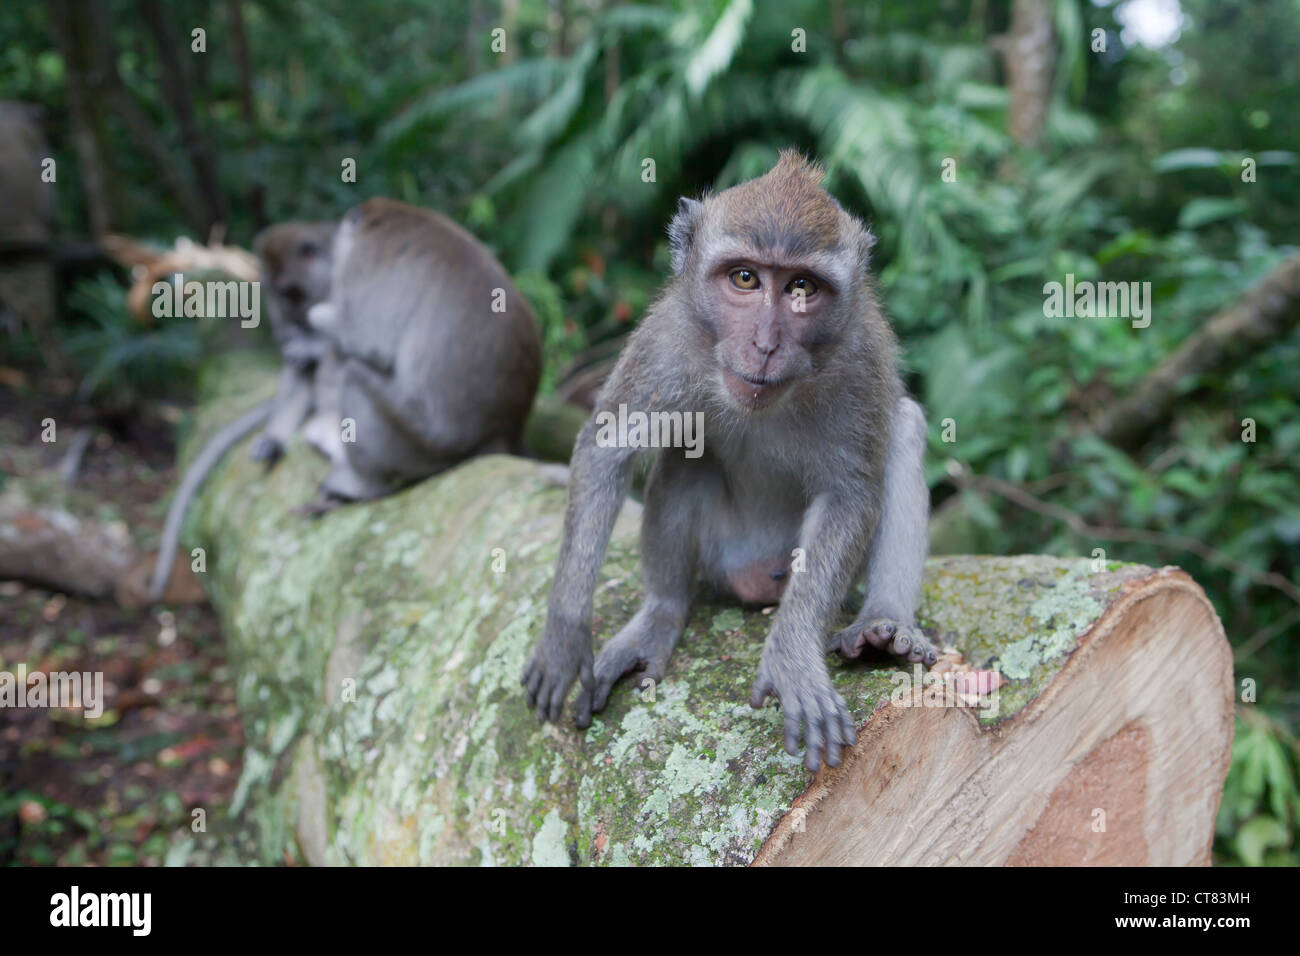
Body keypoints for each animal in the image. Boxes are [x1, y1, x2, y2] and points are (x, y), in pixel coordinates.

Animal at [298, 198, 542, 511]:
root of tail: (504, 430)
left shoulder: (363, 261)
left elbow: (359, 339)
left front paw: (315, 324)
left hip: (423, 446)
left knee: (353, 376)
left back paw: (361, 486)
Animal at [522, 151, 935, 771]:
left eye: (802, 286)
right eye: (745, 278)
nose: (764, 344)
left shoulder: (860, 361)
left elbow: (850, 494)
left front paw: (792, 656)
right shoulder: (667, 340)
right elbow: (606, 447)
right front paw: (565, 634)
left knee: (903, 427)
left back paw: (883, 625)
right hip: (721, 552)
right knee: (685, 456)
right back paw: (662, 612)